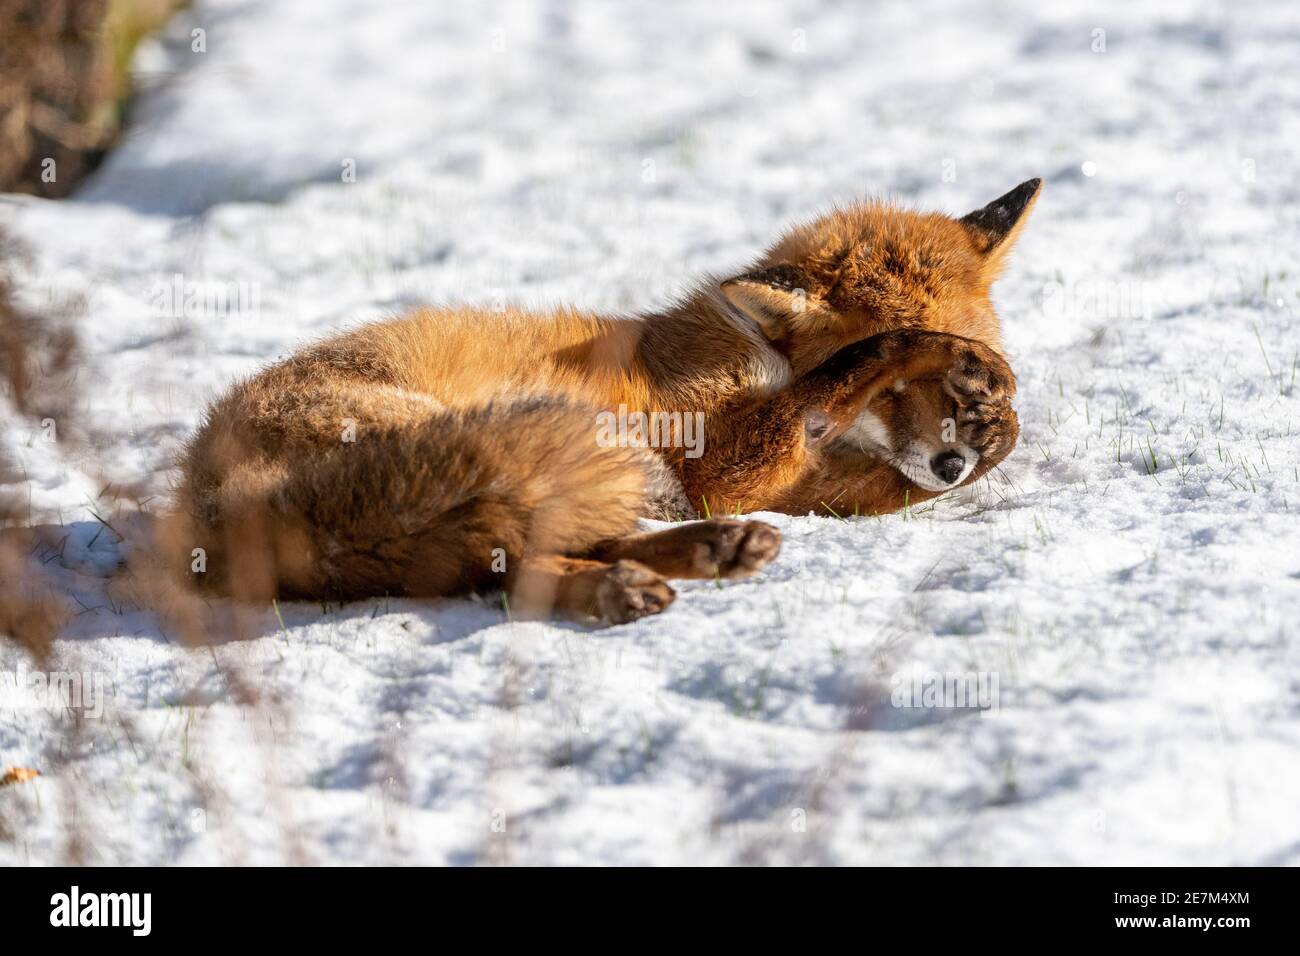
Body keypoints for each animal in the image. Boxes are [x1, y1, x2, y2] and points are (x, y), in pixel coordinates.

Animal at [169, 179, 1040, 624]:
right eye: (892, 396)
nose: (951, 461)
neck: (747, 347)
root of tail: (202, 491)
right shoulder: (717, 460)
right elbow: (859, 363)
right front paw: (935, 355)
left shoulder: (779, 483)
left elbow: (880, 484)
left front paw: (995, 421)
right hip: (545, 451)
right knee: (509, 558)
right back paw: (624, 583)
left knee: (508, 557)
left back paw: (697, 556)